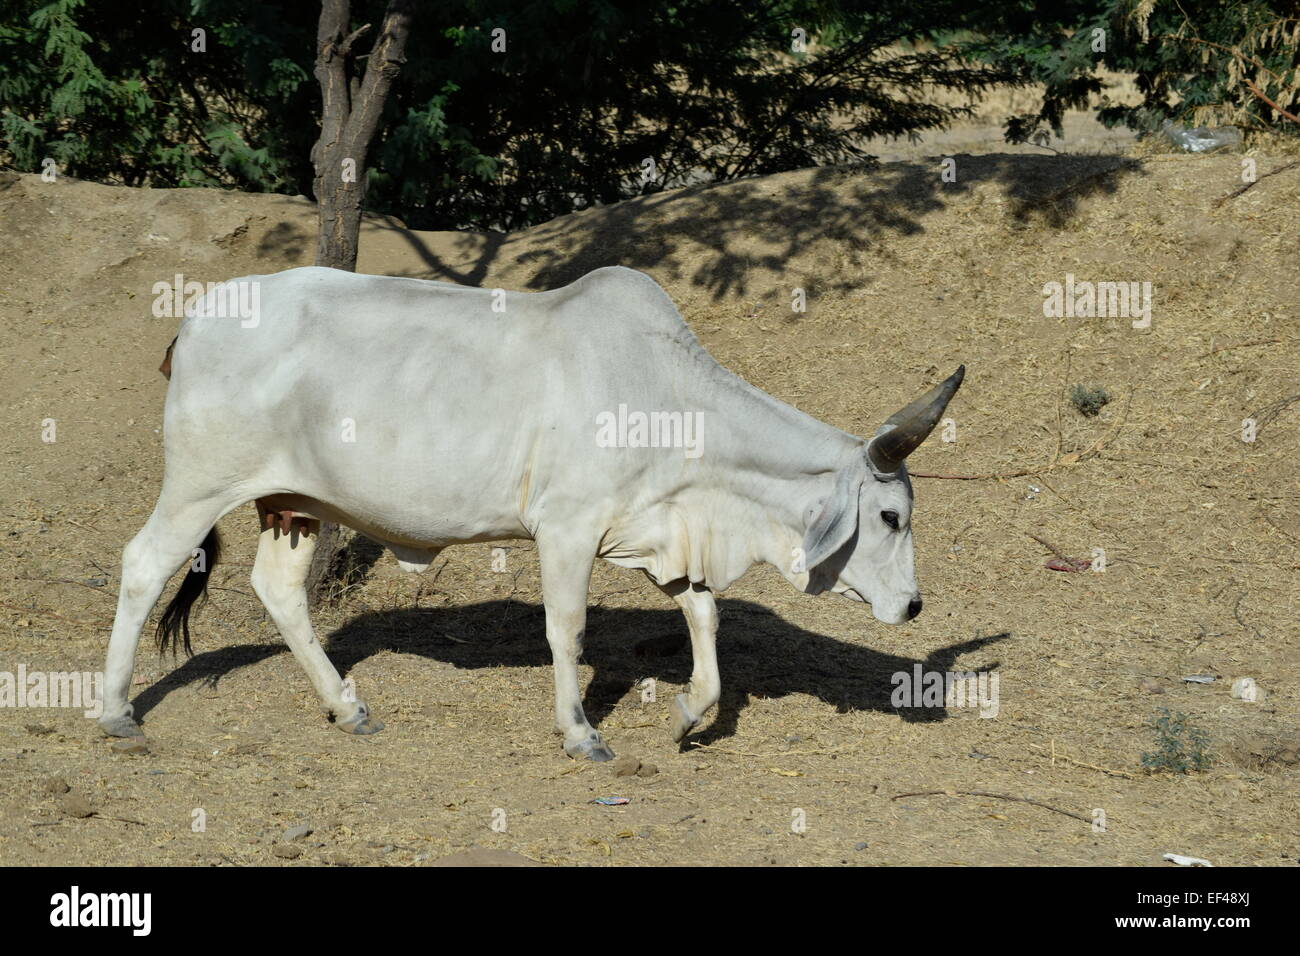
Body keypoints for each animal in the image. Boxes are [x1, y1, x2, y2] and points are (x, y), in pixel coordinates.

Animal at [100, 265, 963, 760]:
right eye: (892, 517)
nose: (914, 606)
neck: (667, 397)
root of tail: (195, 318)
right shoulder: (569, 530)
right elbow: (567, 630)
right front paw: (580, 731)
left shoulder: (662, 532)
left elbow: (706, 616)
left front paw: (691, 714)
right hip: (200, 484)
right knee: (143, 566)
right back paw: (115, 713)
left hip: (295, 505)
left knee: (278, 591)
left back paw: (347, 707)